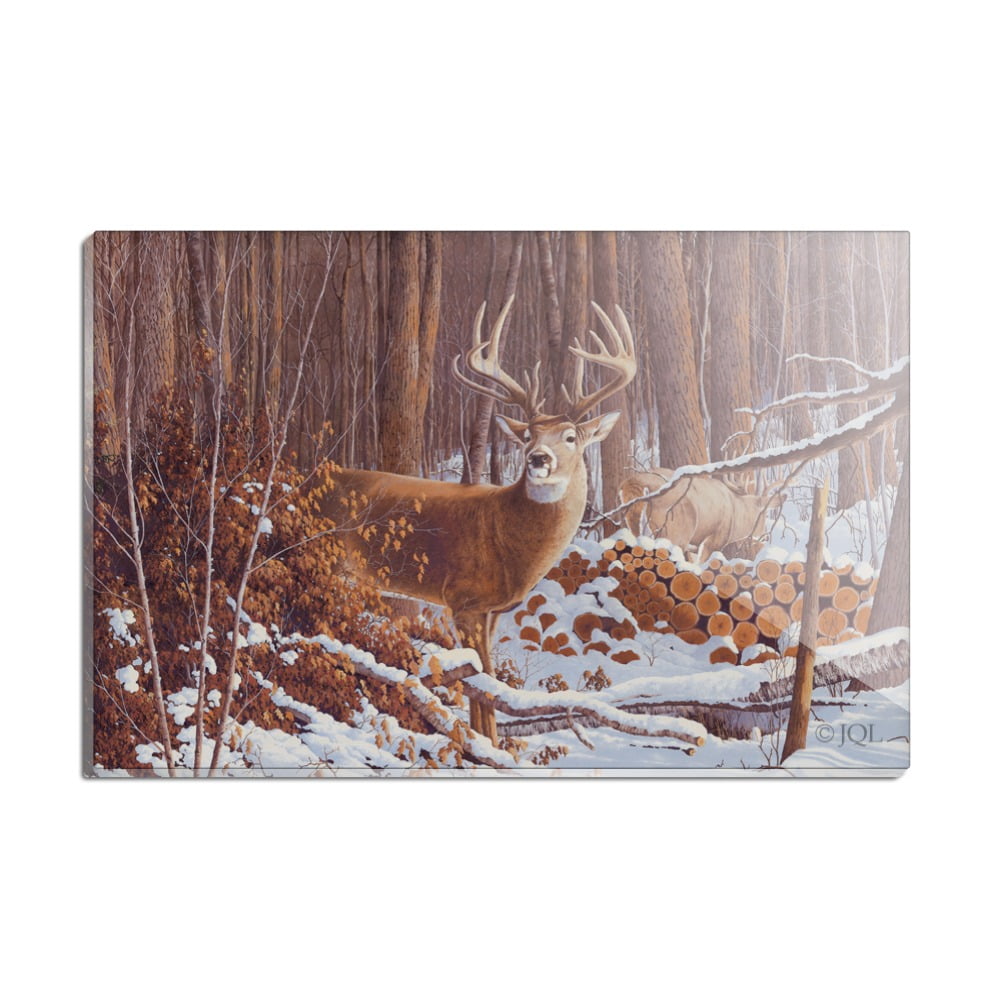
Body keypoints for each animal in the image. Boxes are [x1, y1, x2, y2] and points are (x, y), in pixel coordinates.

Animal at [319, 295, 636, 743]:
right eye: (527, 435)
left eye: (571, 436)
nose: (538, 458)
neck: (508, 543)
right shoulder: (463, 599)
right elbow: (482, 681)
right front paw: (486, 746)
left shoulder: (494, 611)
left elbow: (487, 679)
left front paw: (492, 743)